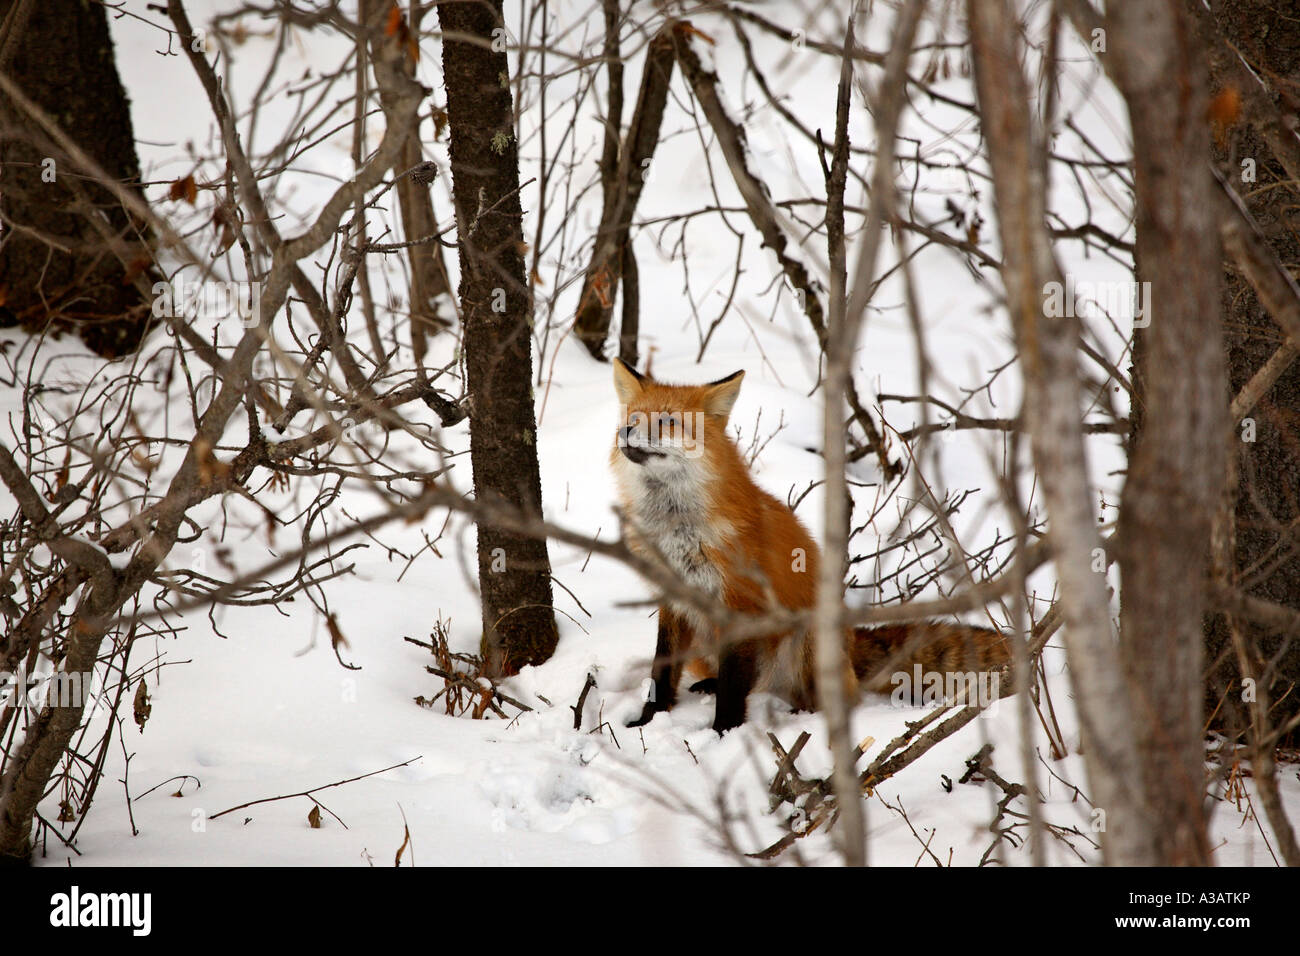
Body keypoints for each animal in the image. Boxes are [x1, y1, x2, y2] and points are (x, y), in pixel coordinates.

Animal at [609, 357, 1009, 733]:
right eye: (633, 417)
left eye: (668, 421)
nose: (625, 431)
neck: (677, 528)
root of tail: (851, 641)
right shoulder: (673, 600)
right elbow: (662, 672)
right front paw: (648, 721)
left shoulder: (741, 605)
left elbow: (733, 687)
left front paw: (724, 732)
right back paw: (711, 684)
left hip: (807, 637)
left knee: (827, 696)